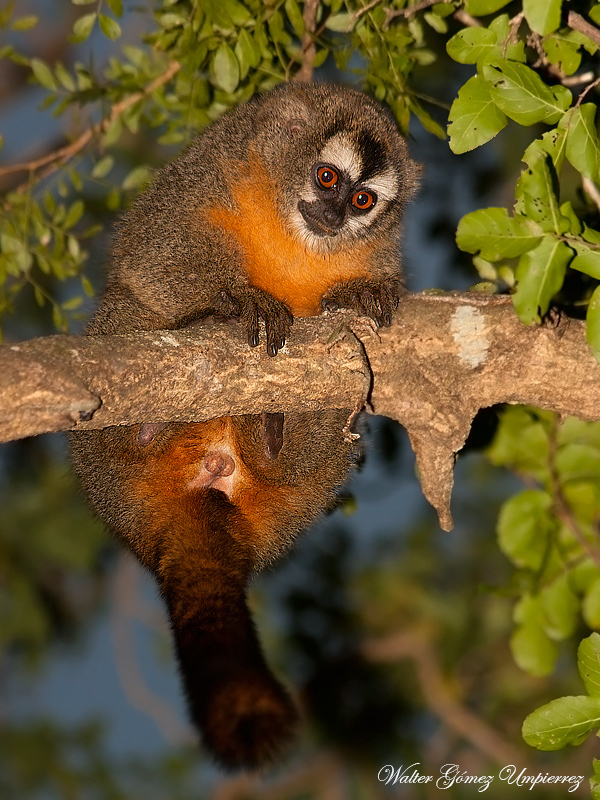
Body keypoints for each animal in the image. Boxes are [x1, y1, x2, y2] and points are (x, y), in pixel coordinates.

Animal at [69, 82, 419, 771]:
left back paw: (276, 436)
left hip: (296, 504)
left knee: (336, 419)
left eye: (363, 201)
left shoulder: (383, 245)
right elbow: (149, 252)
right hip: (99, 456)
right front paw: (241, 300)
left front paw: (365, 296)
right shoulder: (216, 163)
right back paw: (148, 423)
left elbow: (379, 293)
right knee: (131, 311)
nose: (335, 215)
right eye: (327, 178)